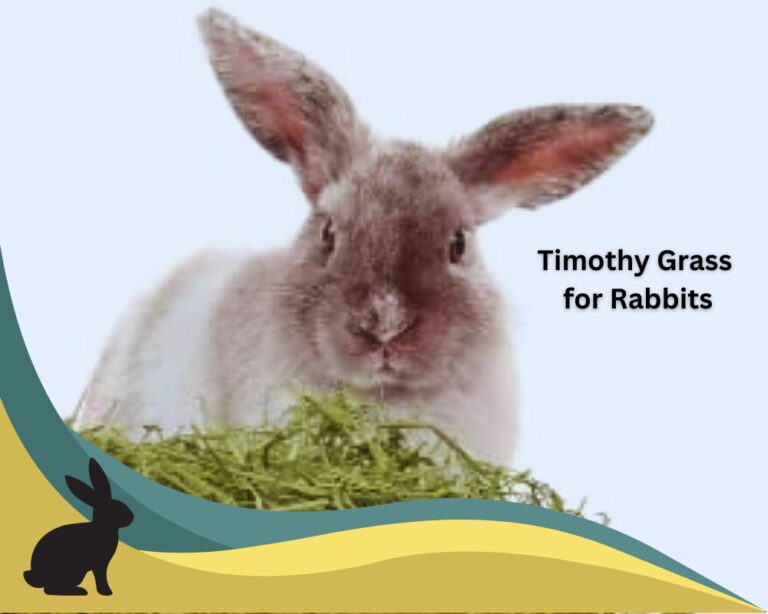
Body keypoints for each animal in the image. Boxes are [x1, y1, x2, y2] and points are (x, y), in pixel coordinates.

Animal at [24, 458, 134, 596]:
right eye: (115, 509)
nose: (132, 516)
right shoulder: (99, 564)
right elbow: (101, 577)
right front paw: (107, 592)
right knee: (50, 589)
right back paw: (80, 591)